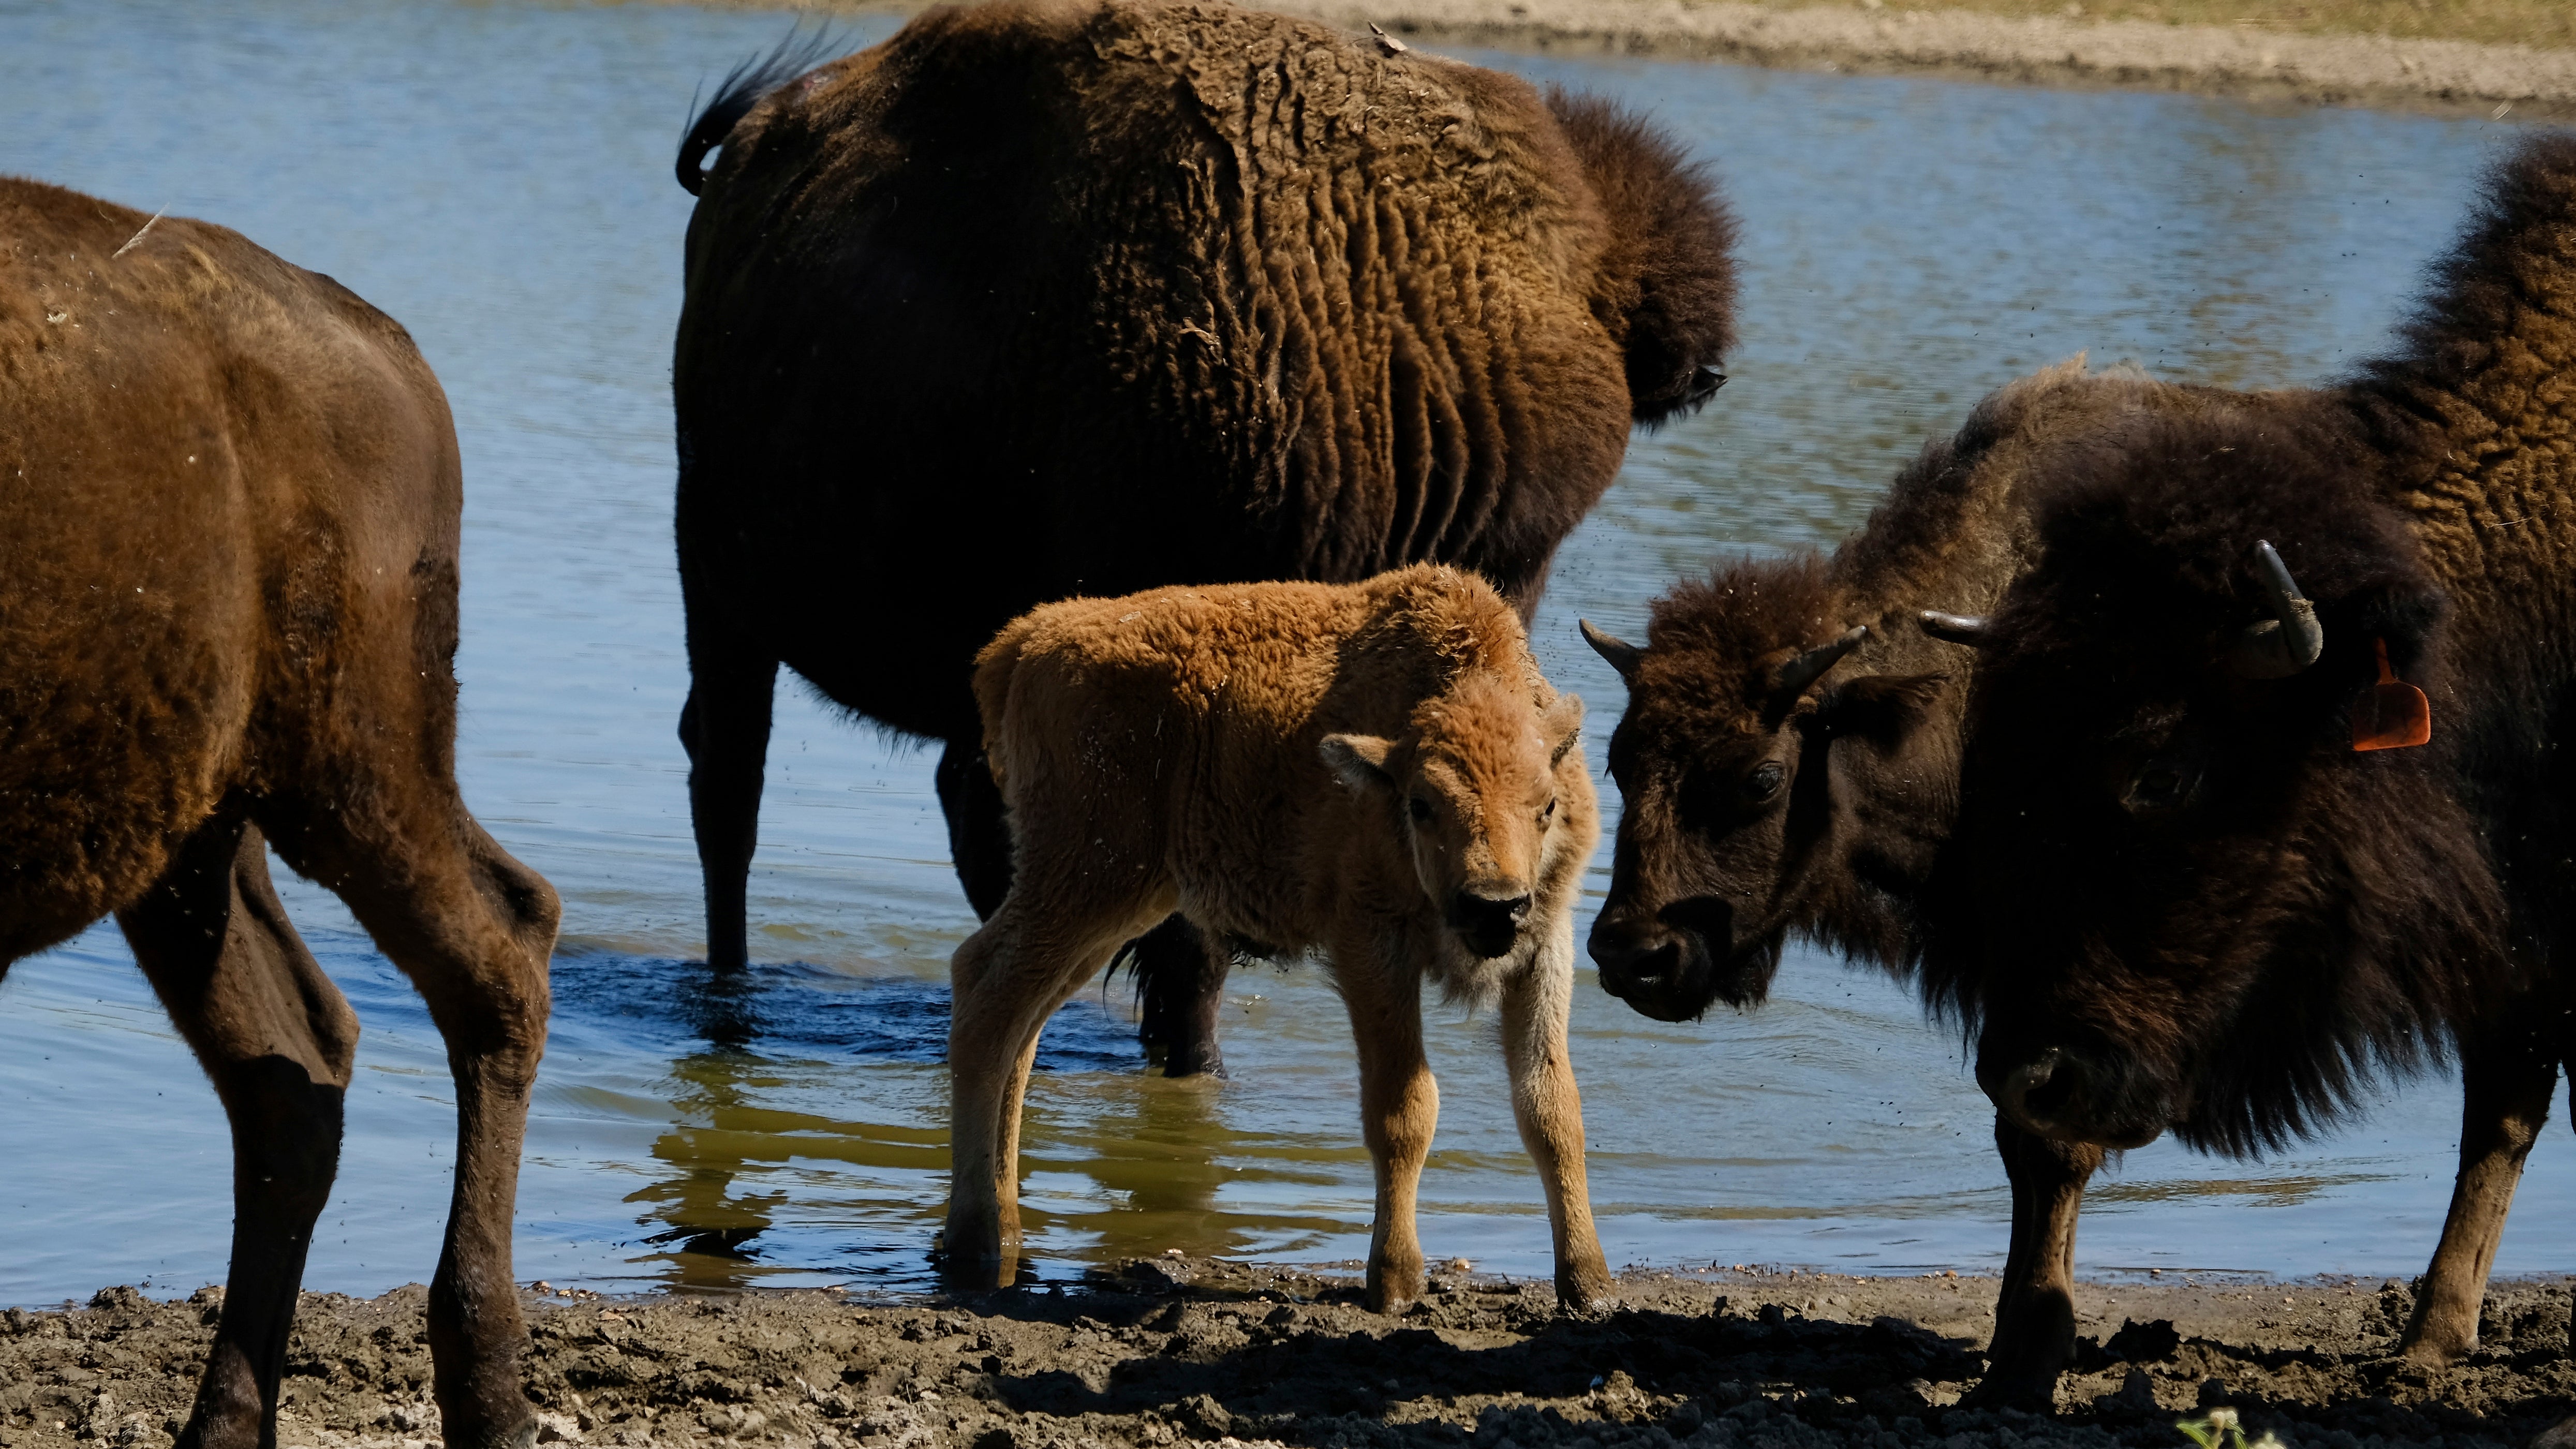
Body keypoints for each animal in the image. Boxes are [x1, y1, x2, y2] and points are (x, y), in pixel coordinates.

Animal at [0, 181, 560, 1449]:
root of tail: (381, 340)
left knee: (500, 950)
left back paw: (492, 1392)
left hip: (353, 761)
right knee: (291, 1068)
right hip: (197, 839)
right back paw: (221, 1423)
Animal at [672, 0, 1735, 1076]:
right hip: (713, 583)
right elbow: (1181, 932)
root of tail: (756, 143)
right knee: (729, 785)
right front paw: (1193, 1072)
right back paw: (728, 997)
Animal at [1927, 134, 2576, 1383]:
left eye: (2161, 771)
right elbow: (2502, 1107)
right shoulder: (2515, 930)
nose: (2027, 1075)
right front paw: (2430, 1338)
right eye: (1996, 766)